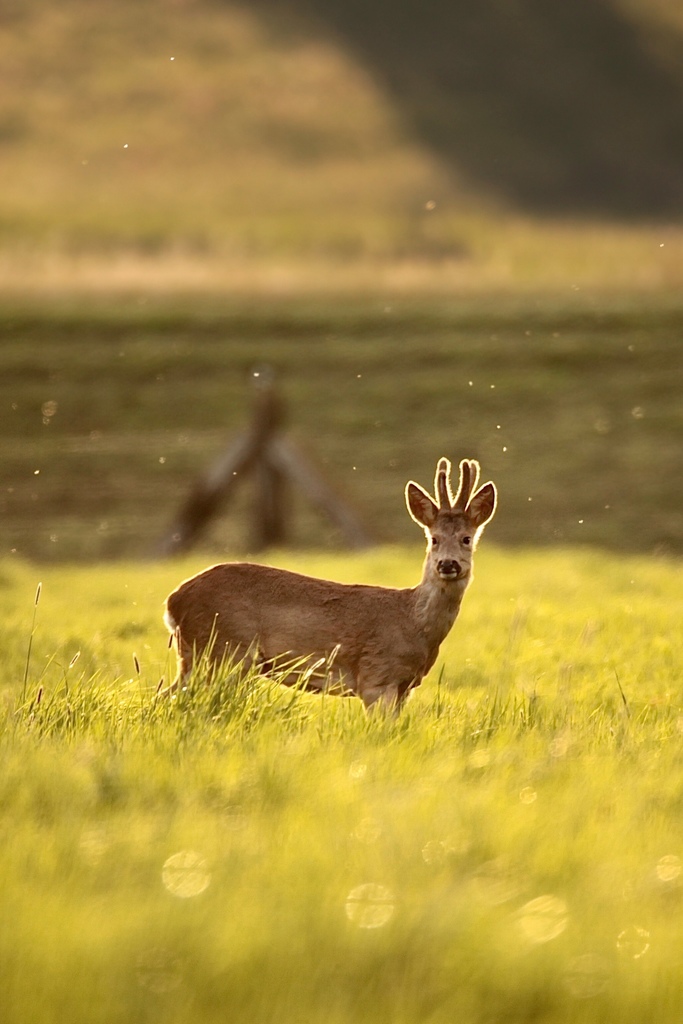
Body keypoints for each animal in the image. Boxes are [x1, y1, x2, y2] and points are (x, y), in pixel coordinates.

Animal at [163, 457, 496, 713]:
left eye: (466, 539)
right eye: (434, 539)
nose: (448, 564)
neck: (413, 623)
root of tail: (174, 600)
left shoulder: (405, 686)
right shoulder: (376, 676)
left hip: (198, 655)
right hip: (224, 650)